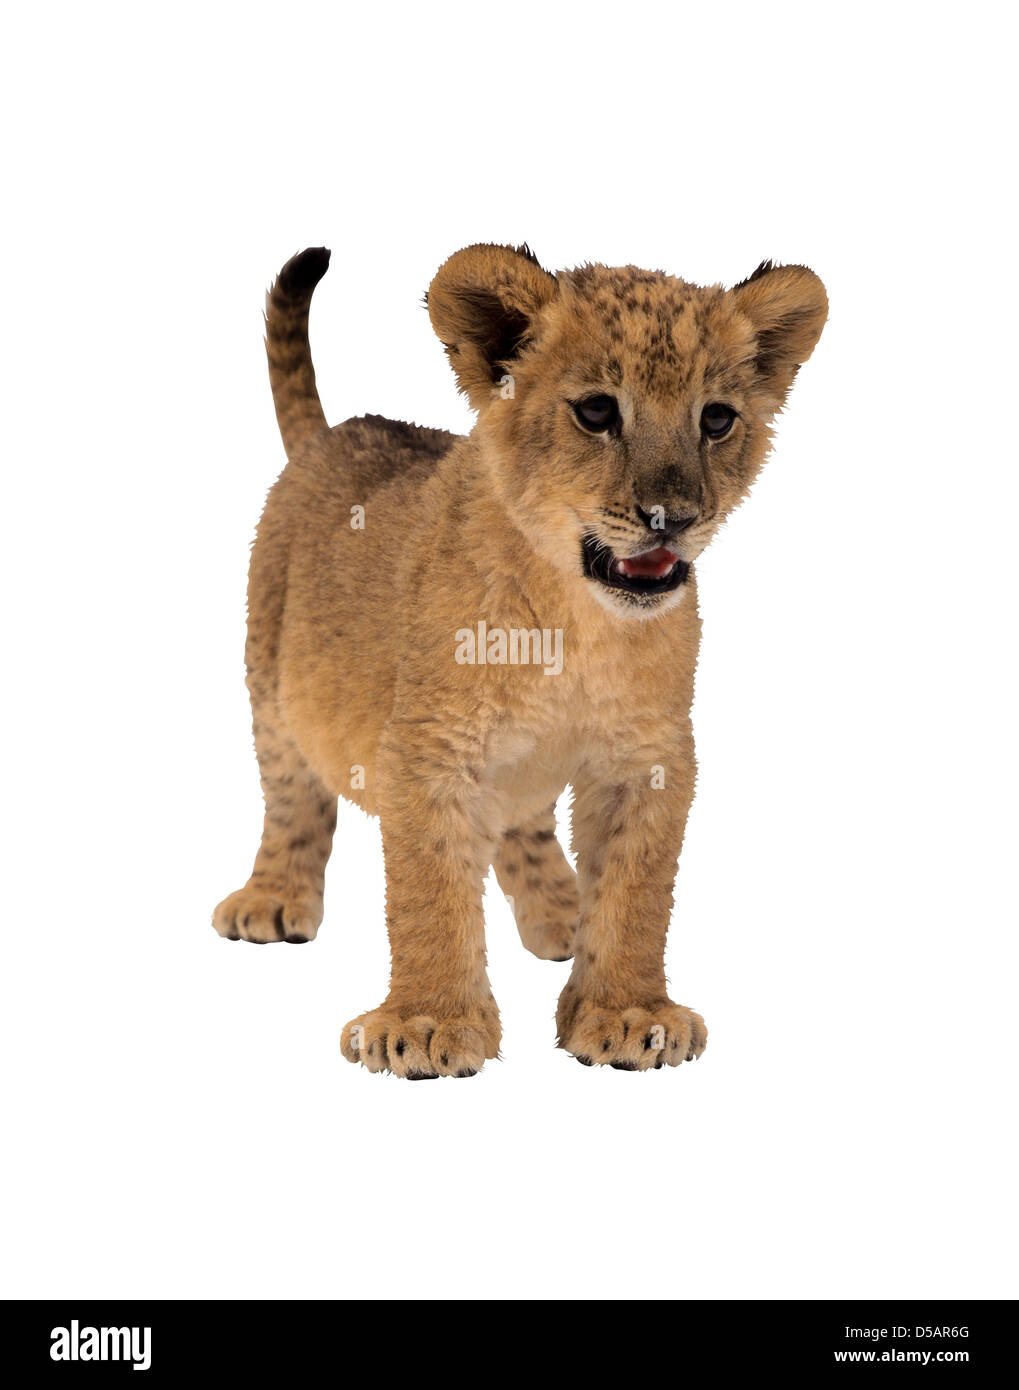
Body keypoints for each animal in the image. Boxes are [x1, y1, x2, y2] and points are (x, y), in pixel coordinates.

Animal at [213, 243, 827, 1078]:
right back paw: (272, 898)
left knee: (524, 824)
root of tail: (337, 432)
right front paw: (427, 1024)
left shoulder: (651, 754)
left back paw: (561, 915)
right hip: (269, 676)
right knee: (289, 794)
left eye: (716, 419)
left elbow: (638, 891)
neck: (577, 622)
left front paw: (628, 1013)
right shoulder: (426, 750)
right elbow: (428, 892)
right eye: (596, 413)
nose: (673, 518)